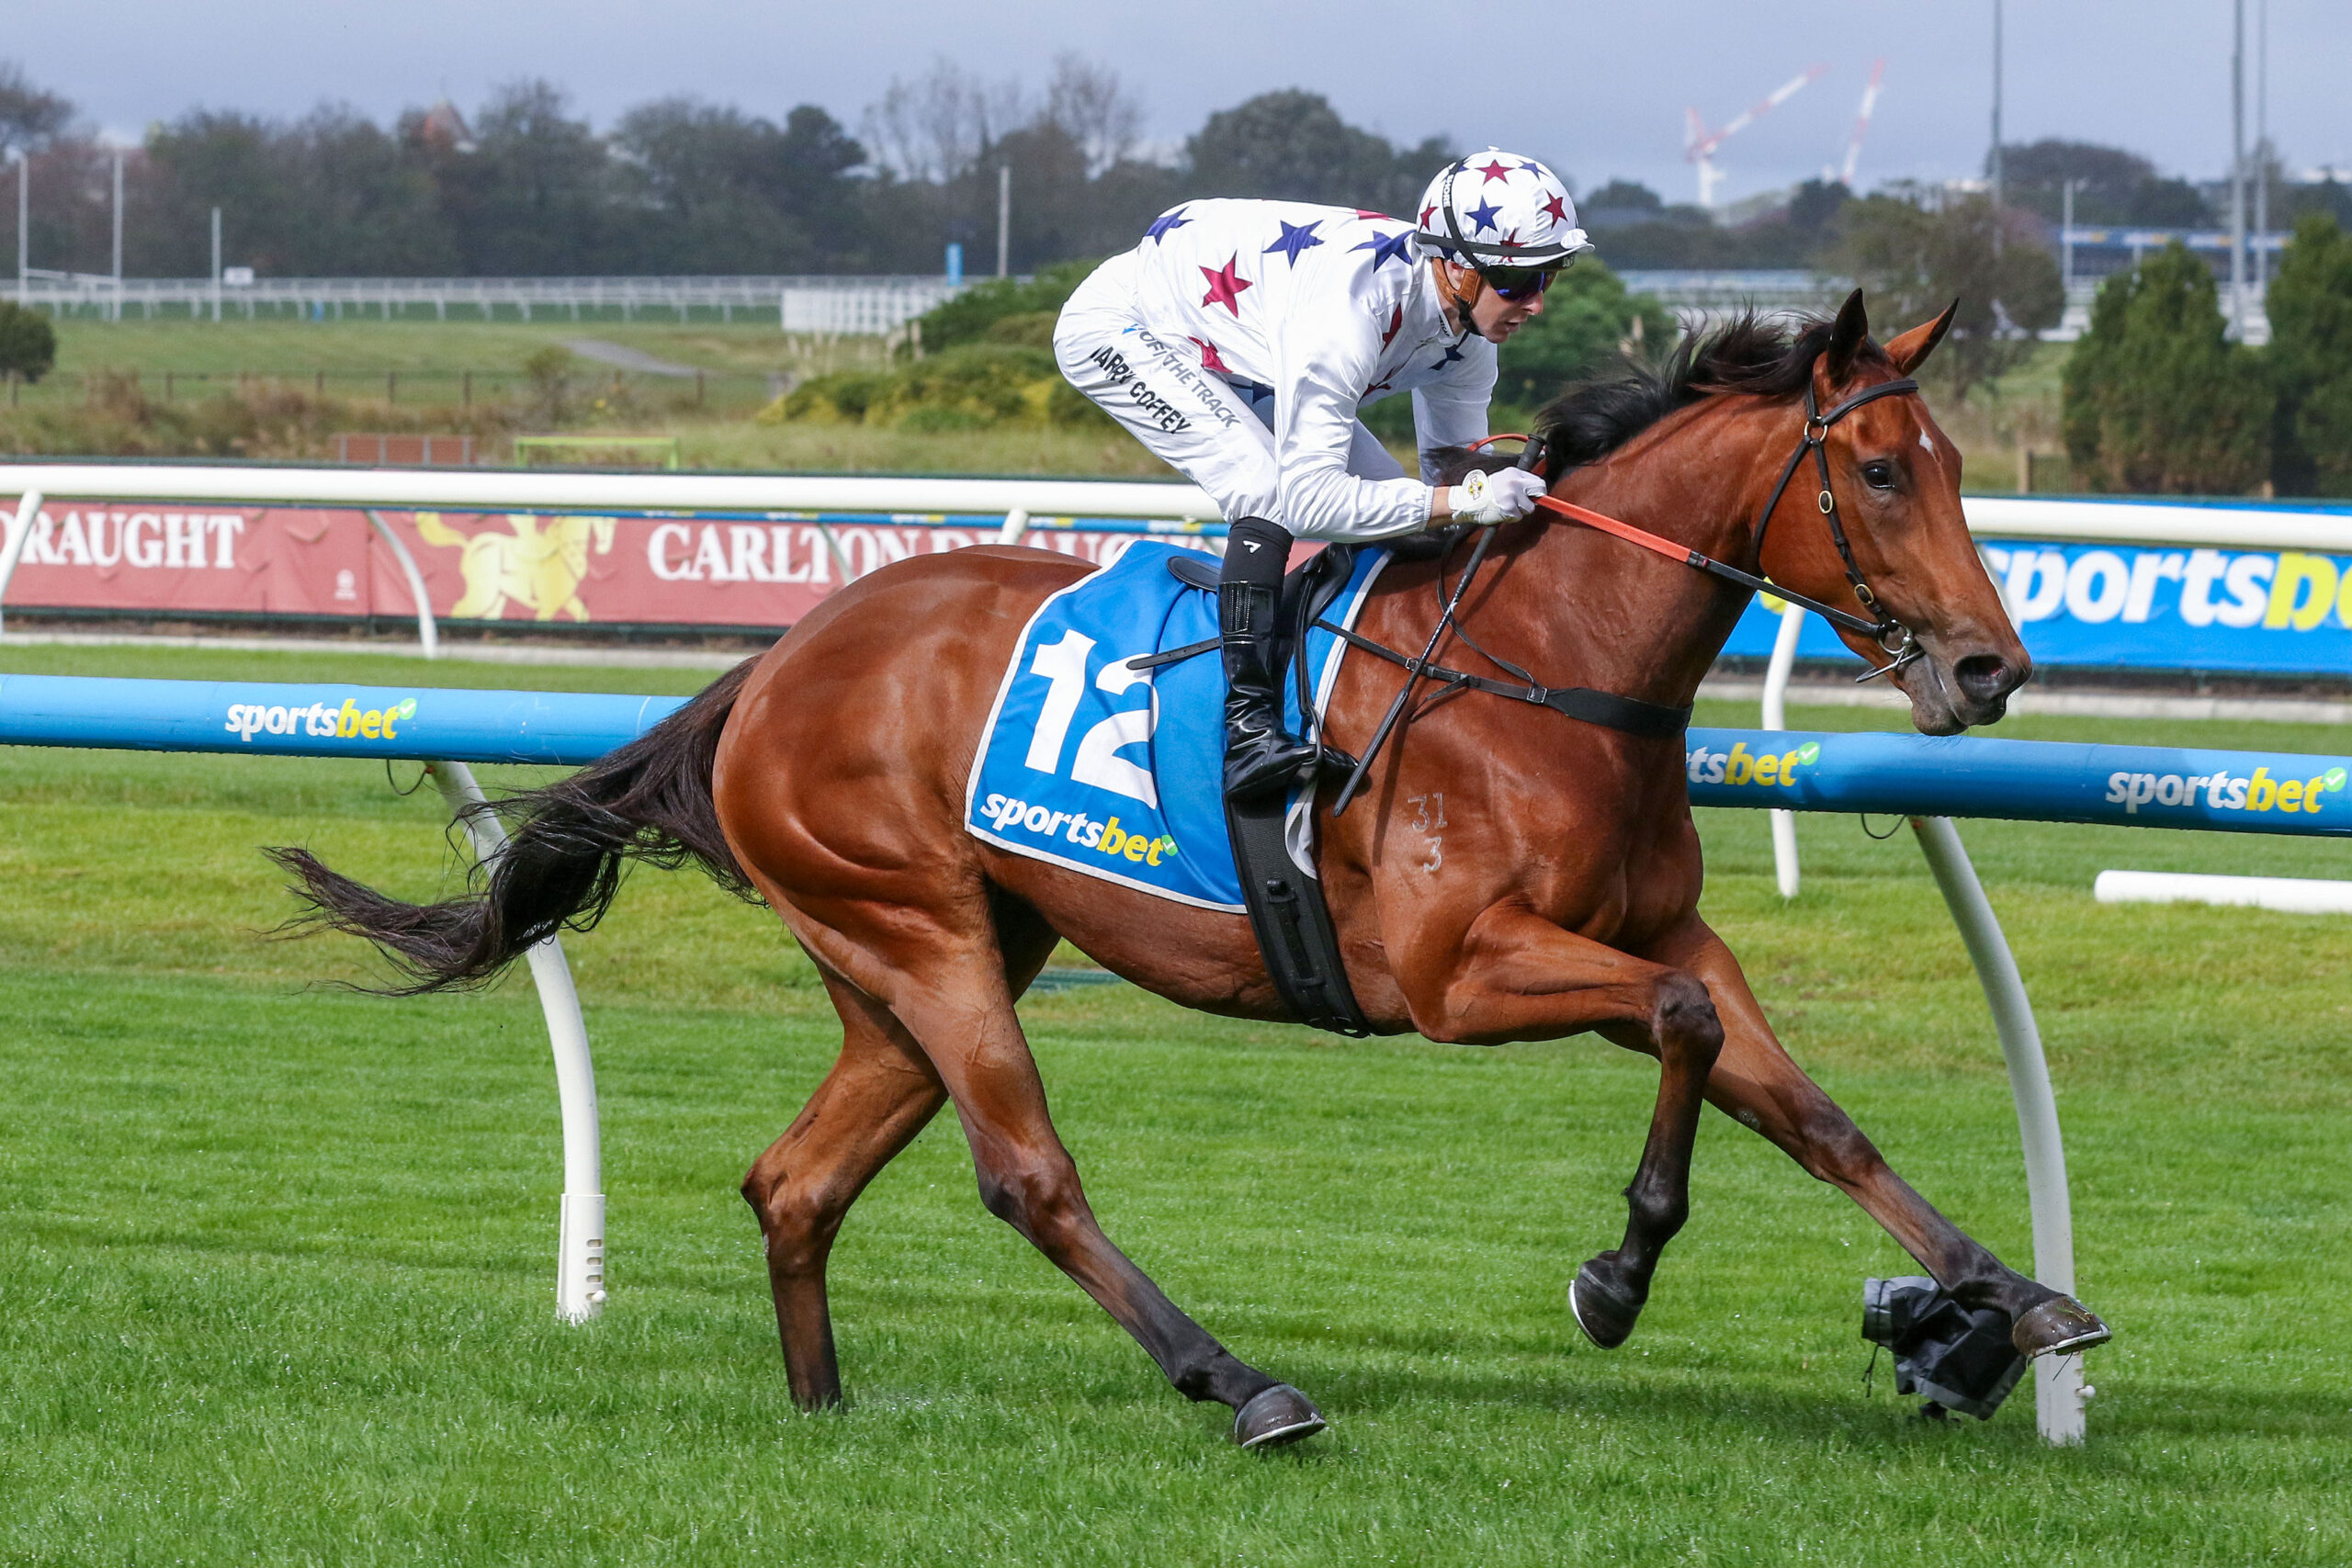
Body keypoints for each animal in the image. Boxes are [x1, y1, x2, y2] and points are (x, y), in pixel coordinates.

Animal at [273, 293, 2110, 1450]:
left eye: (1959, 466)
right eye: (1881, 469)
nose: (1991, 669)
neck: (1548, 666)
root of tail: (777, 661)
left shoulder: (1666, 926)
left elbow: (1801, 1099)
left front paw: (2002, 1301)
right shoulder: (1460, 973)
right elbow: (1678, 1026)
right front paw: (1619, 1276)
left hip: (917, 961)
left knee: (796, 1179)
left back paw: (826, 1408)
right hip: (922, 934)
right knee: (1031, 1177)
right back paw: (1241, 1384)